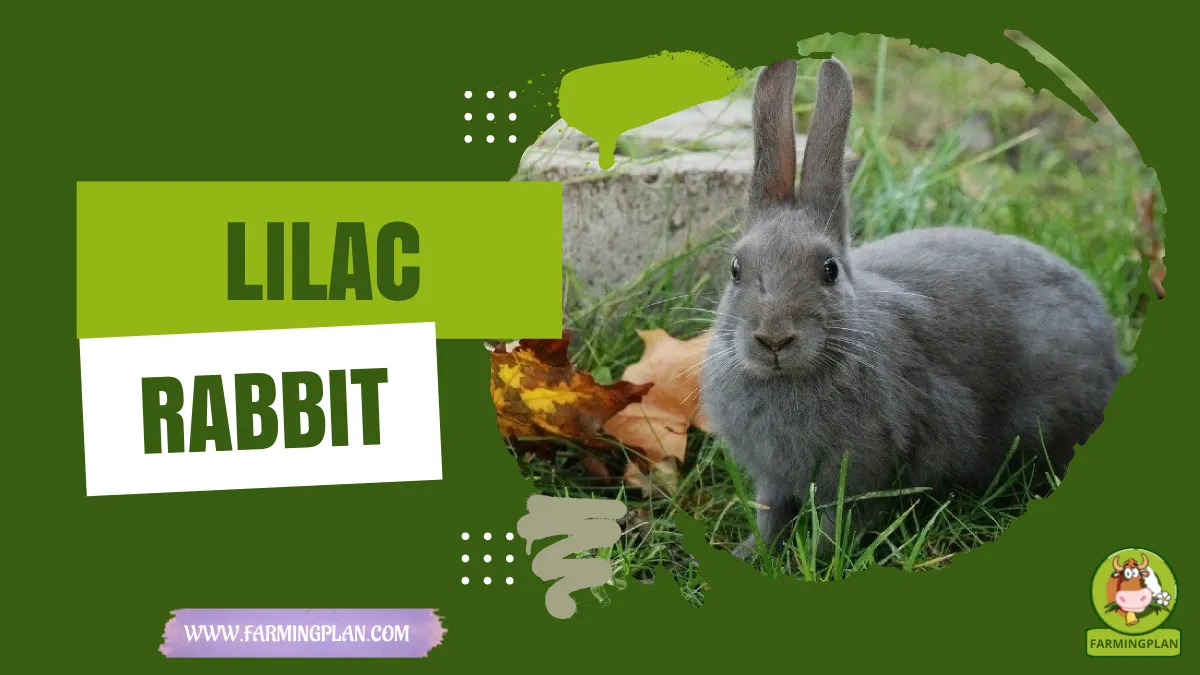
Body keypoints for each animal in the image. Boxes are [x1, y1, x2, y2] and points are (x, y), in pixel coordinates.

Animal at [699, 58, 1125, 563]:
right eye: (735, 269)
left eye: (829, 270)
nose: (774, 338)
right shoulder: (774, 480)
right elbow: (771, 518)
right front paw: (750, 554)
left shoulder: (860, 476)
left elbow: (836, 526)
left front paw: (814, 561)